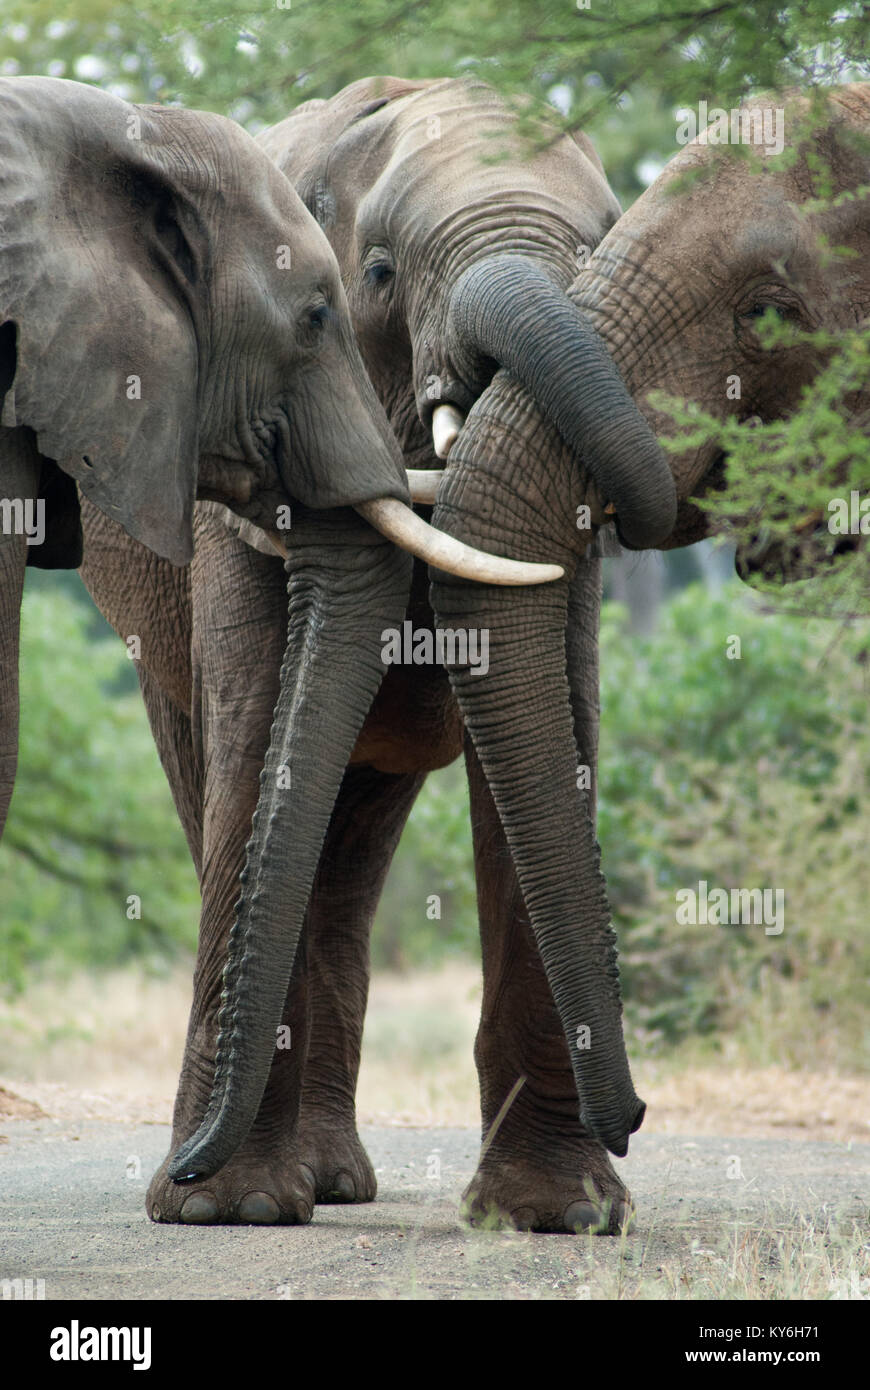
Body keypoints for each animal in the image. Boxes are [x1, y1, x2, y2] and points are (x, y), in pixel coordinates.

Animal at [80, 75, 672, 1230]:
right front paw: (222, 1209)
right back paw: (289, 1186)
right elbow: (259, 739)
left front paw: (559, 1216)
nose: (633, 1115)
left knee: (349, 851)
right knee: (232, 783)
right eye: (384, 272)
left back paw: (338, 1183)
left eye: (601, 254)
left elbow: (554, 734)